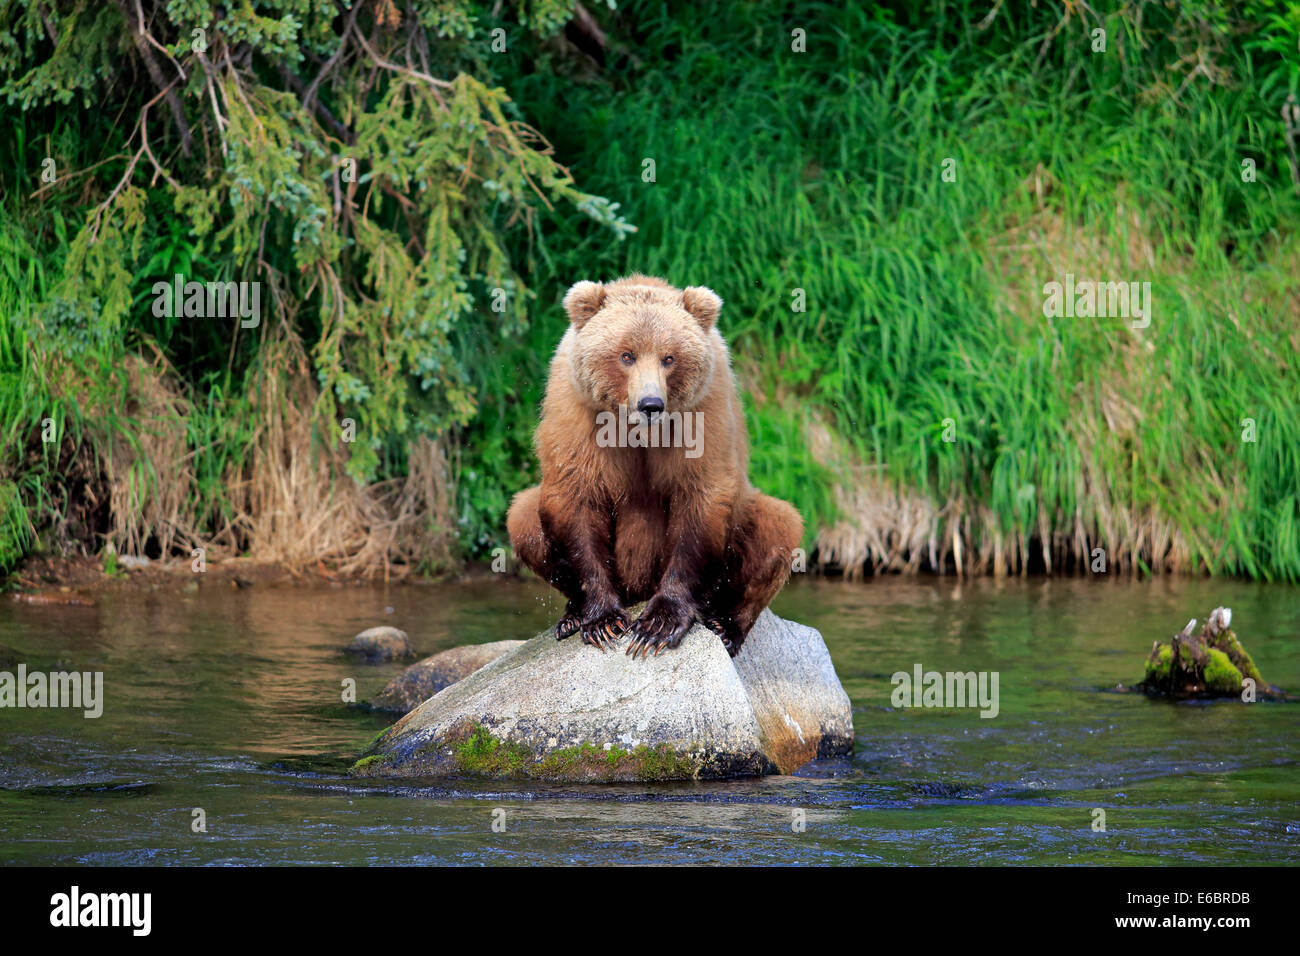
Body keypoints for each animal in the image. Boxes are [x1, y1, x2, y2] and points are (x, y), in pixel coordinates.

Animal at [506, 274, 803, 658]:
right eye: (626, 355)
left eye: (669, 358)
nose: (651, 404)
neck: (637, 431)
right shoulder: (576, 409)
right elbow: (576, 496)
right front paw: (602, 621)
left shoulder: (703, 411)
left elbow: (701, 498)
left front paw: (658, 625)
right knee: (523, 517)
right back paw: (570, 617)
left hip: (745, 522)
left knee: (778, 527)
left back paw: (726, 625)